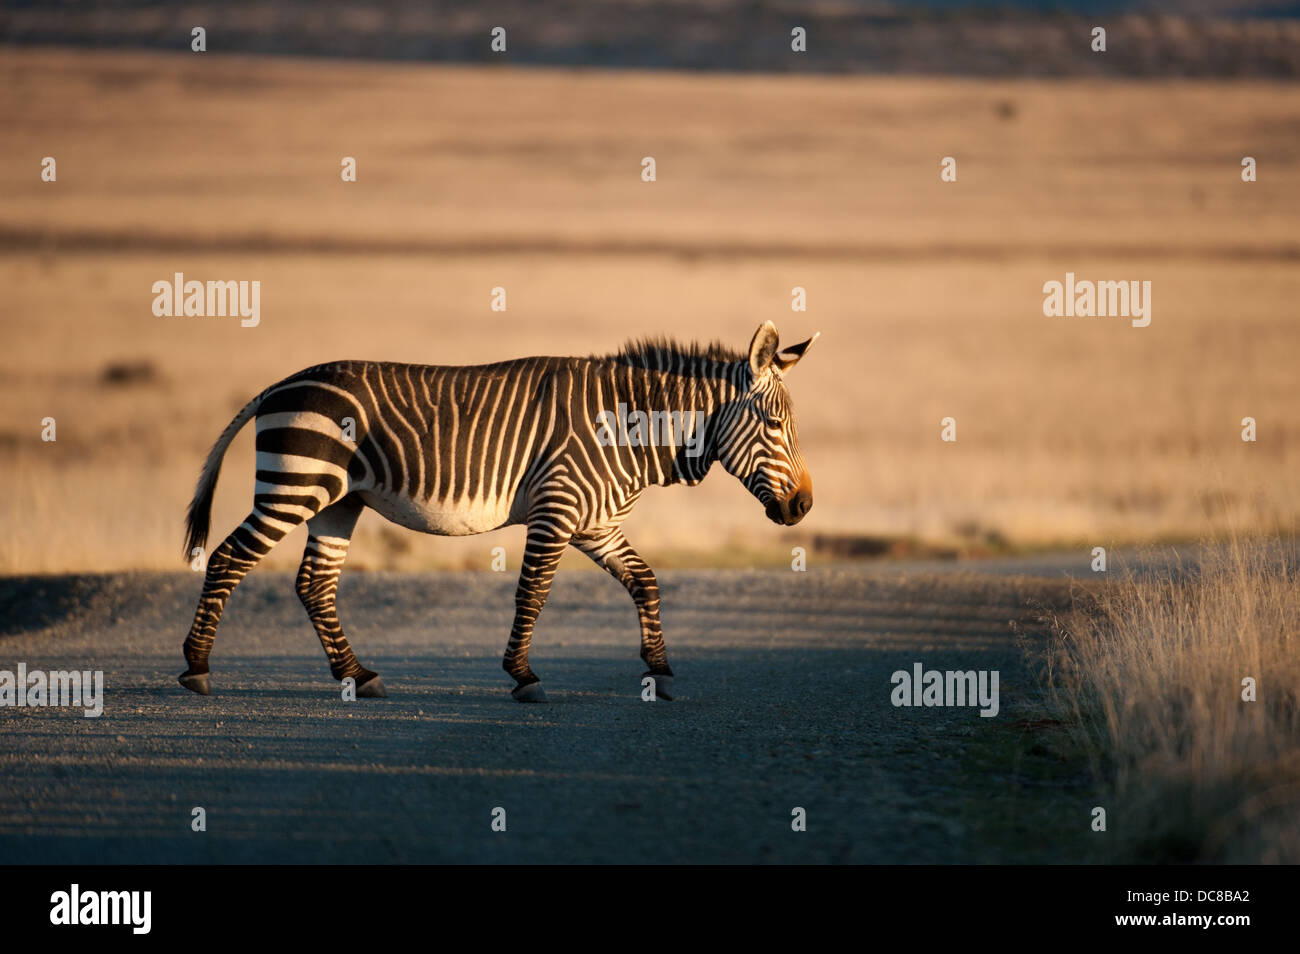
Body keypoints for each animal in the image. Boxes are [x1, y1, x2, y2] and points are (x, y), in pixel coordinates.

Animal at [178, 320, 817, 703]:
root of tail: (280, 385)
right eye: (773, 423)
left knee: (314, 583)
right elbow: (532, 592)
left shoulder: (595, 523)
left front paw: (657, 671)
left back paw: (356, 675)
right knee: (228, 559)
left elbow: (645, 581)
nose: (804, 505)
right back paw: (197, 668)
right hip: (295, 486)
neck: (628, 427)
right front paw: (523, 676)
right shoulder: (557, 508)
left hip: (339, 502)